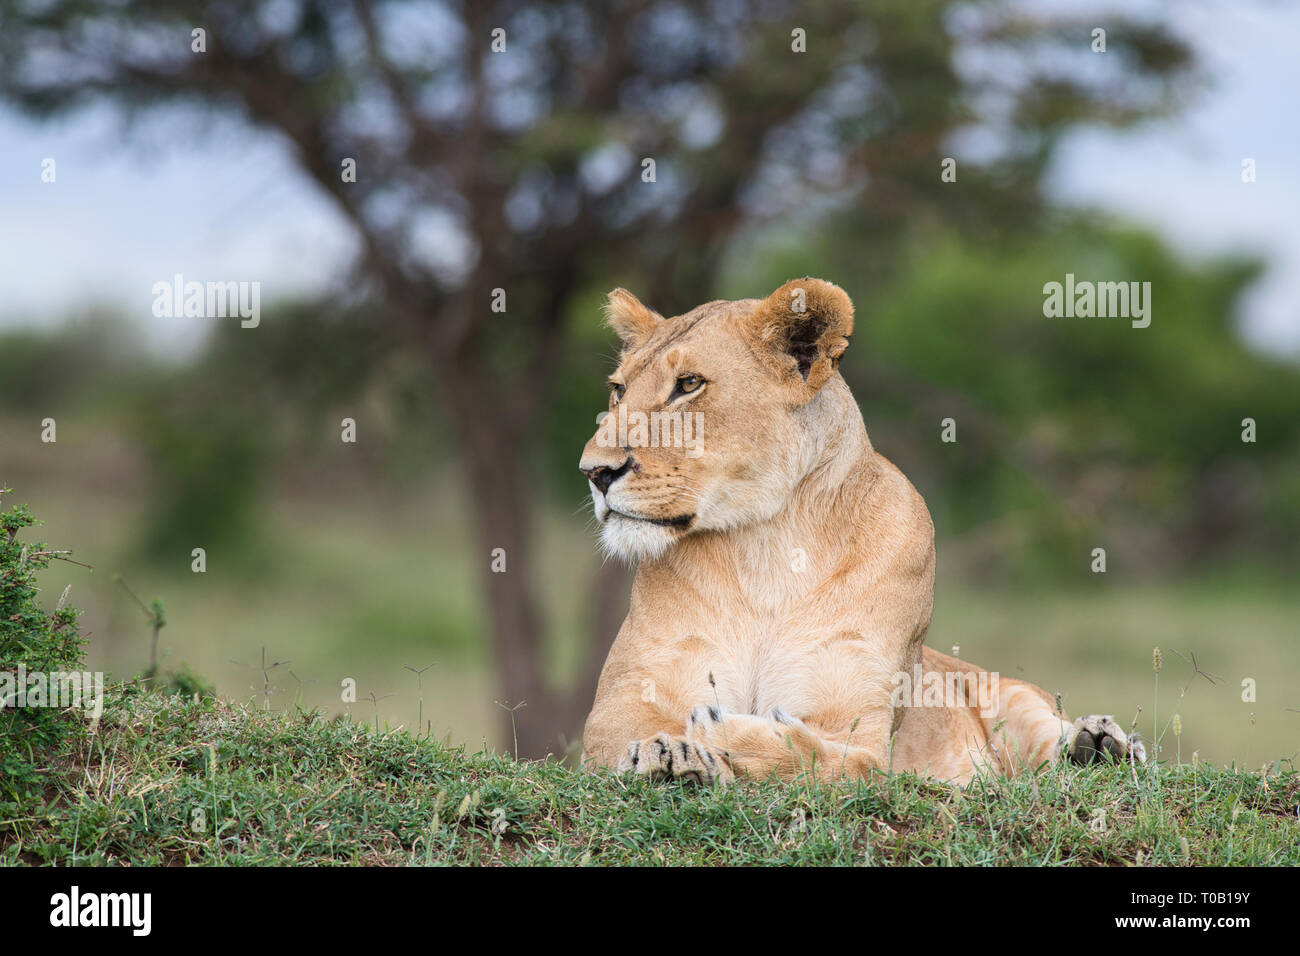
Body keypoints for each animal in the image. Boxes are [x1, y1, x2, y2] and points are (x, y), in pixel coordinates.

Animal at [577, 277, 1145, 785]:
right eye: (618, 390)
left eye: (689, 384)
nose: (594, 471)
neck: (764, 546)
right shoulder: (620, 706)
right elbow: (626, 733)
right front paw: (668, 750)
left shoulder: (862, 731)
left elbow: (827, 761)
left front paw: (721, 736)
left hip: (1010, 696)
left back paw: (1102, 742)